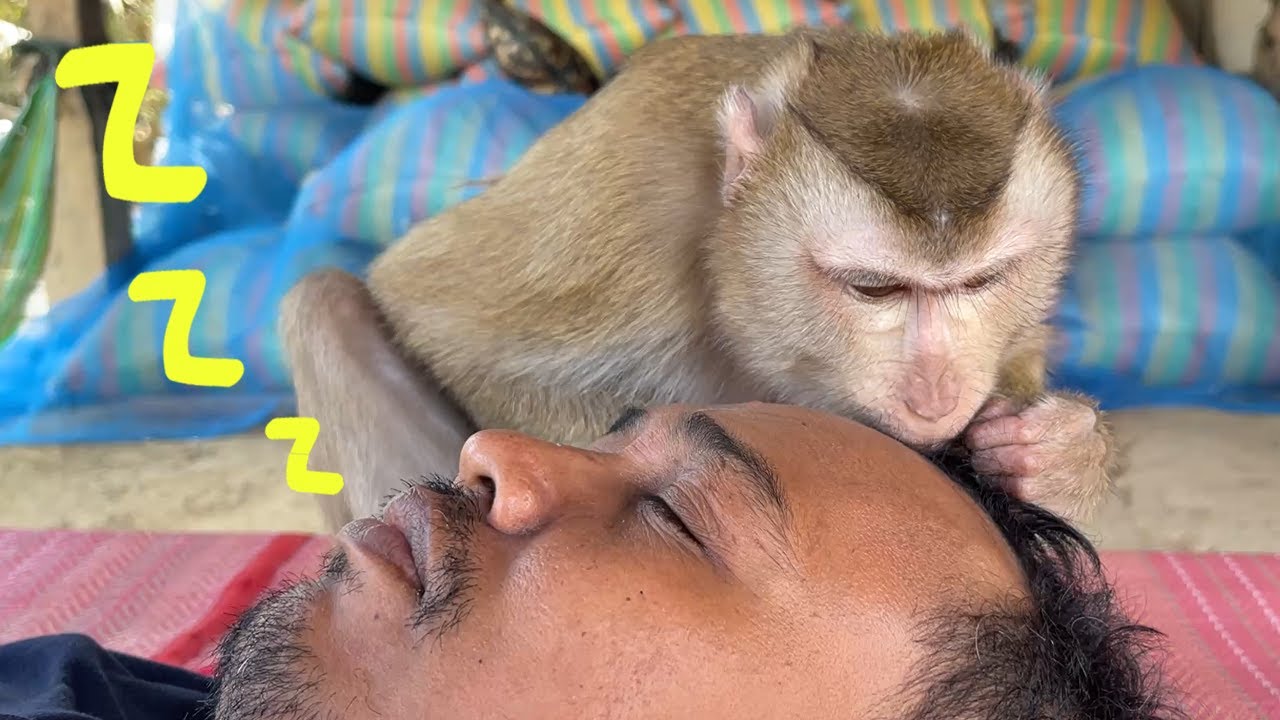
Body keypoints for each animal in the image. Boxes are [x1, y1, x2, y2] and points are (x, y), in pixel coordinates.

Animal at [282, 27, 1116, 530]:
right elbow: (445, 326)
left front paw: (1057, 456)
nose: (935, 395)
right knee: (322, 303)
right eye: (873, 288)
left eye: (982, 282)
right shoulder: (622, 218)